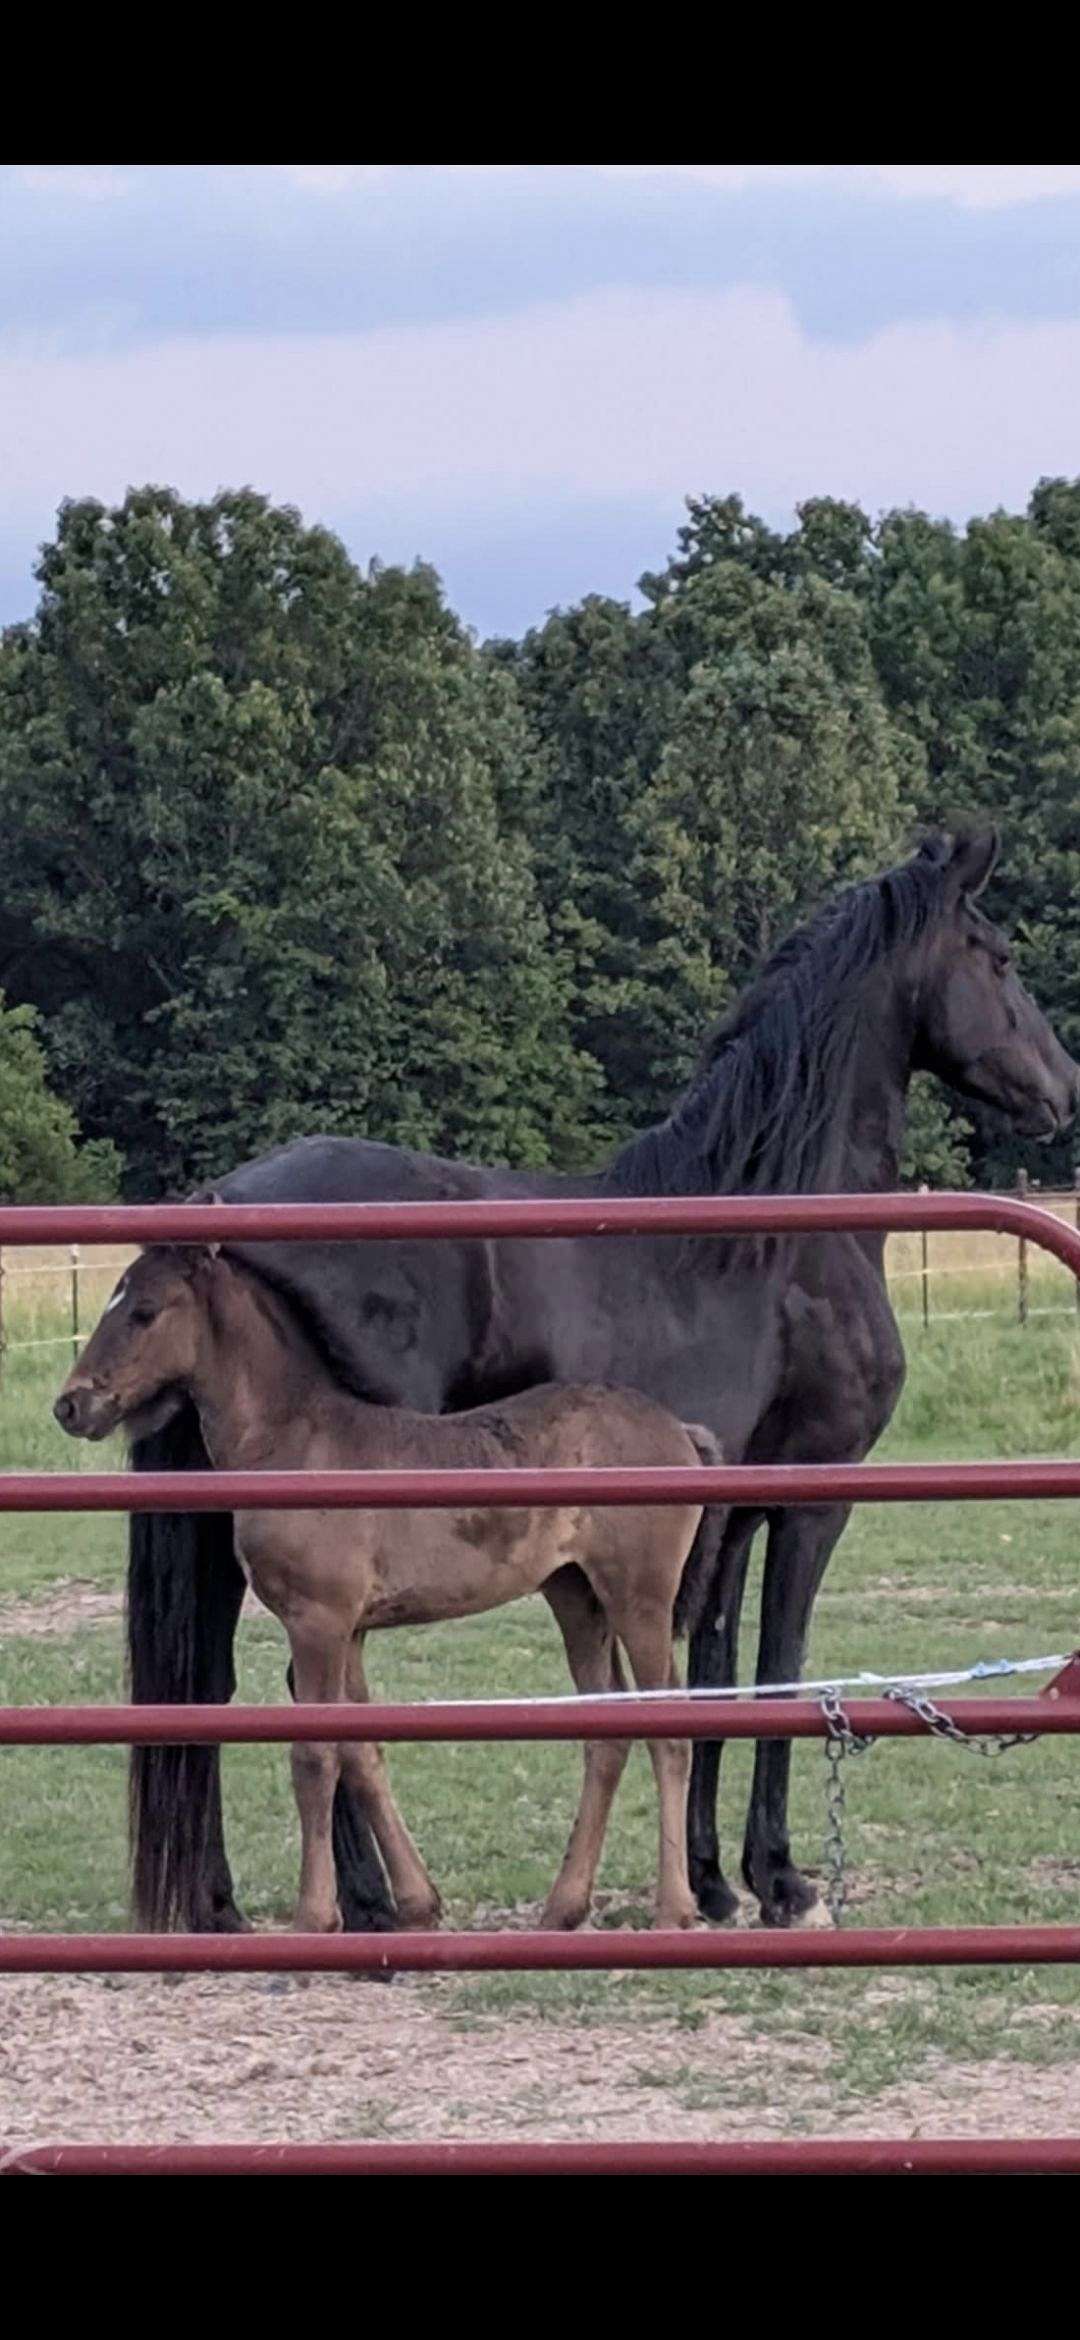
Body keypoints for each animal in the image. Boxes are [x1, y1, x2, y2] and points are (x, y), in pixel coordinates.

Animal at [56, 1244, 724, 1933]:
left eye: (144, 1310)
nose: (71, 1405)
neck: (294, 1443)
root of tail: (680, 1429)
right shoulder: (350, 1629)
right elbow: (361, 1751)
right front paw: (417, 1901)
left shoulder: (318, 1622)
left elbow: (314, 1759)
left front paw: (313, 1918)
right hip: (575, 1596)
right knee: (606, 1730)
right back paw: (563, 1906)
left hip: (639, 1597)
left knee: (669, 1726)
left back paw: (674, 1909)